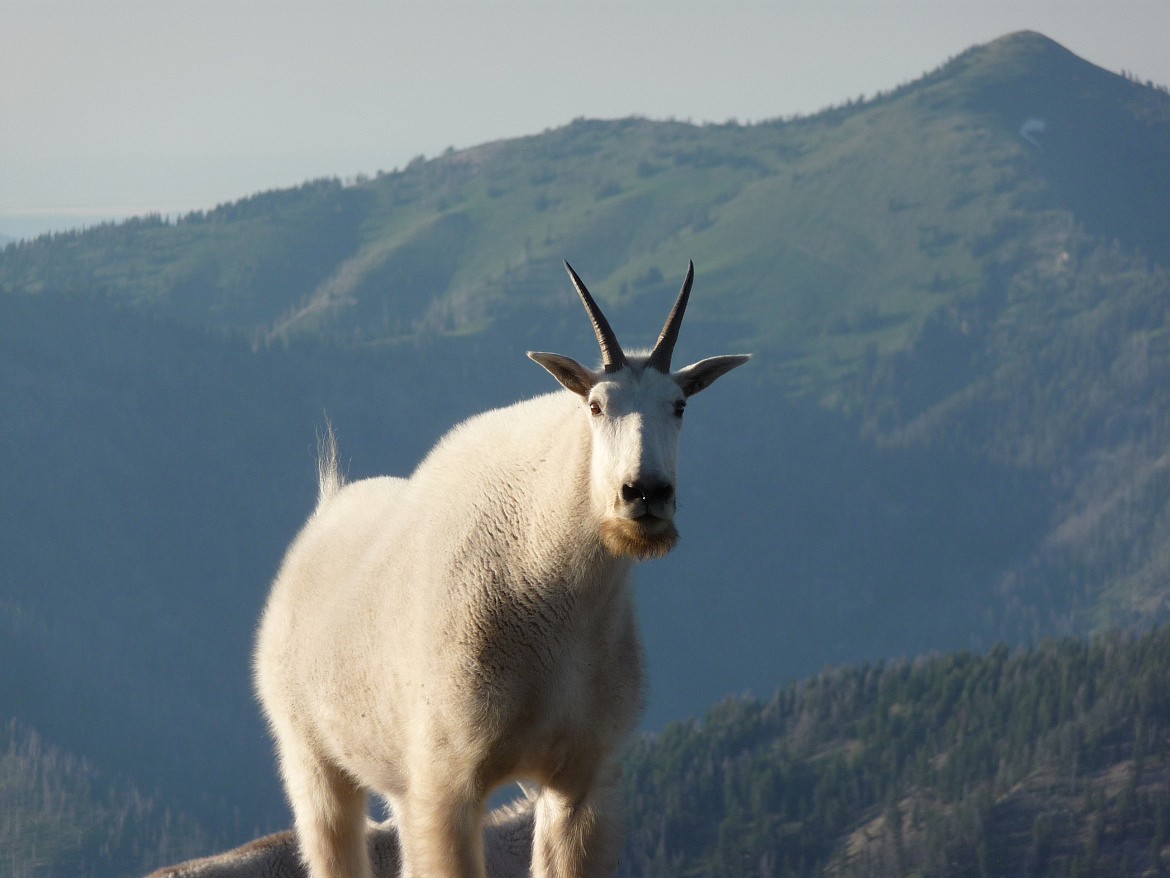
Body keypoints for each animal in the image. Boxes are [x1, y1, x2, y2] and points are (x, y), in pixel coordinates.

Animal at [253, 261, 749, 878]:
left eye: (679, 405)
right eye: (595, 405)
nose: (646, 494)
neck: (553, 584)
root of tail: (322, 515)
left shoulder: (582, 780)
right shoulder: (449, 784)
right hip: (311, 760)